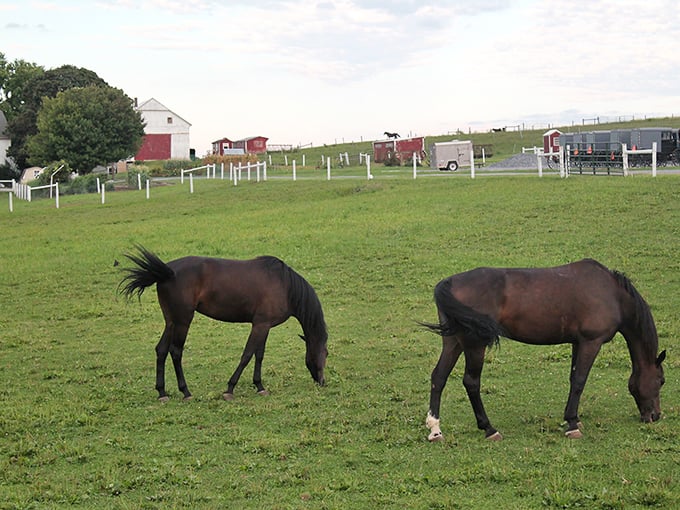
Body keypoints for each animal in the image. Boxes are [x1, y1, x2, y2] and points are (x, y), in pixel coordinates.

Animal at [118, 246, 328, 401]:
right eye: (326, 353)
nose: (322, 382)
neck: (284, 285)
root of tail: (167, 272)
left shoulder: (265, 325)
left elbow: (259, 355)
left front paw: (259, 386)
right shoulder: (260, 325)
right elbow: (247, 355)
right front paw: (230, 389)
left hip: (171, 321)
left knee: (161, 350)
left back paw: (162, 392)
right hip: (183, 320)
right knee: (175, 351)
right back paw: (185, 392)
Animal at [422, 259, 665, 441]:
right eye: (661, 381)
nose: (655, 416)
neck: (612, 294)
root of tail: (449, 282)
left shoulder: (577, 342)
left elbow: (573, 379)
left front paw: (573, 419)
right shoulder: (591, 342)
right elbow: (580, 381)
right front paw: (572, 425)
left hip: (454, 343)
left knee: (439, 377)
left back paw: (435, 430)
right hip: (474, 345)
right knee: (471, 382)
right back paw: (489, 429)